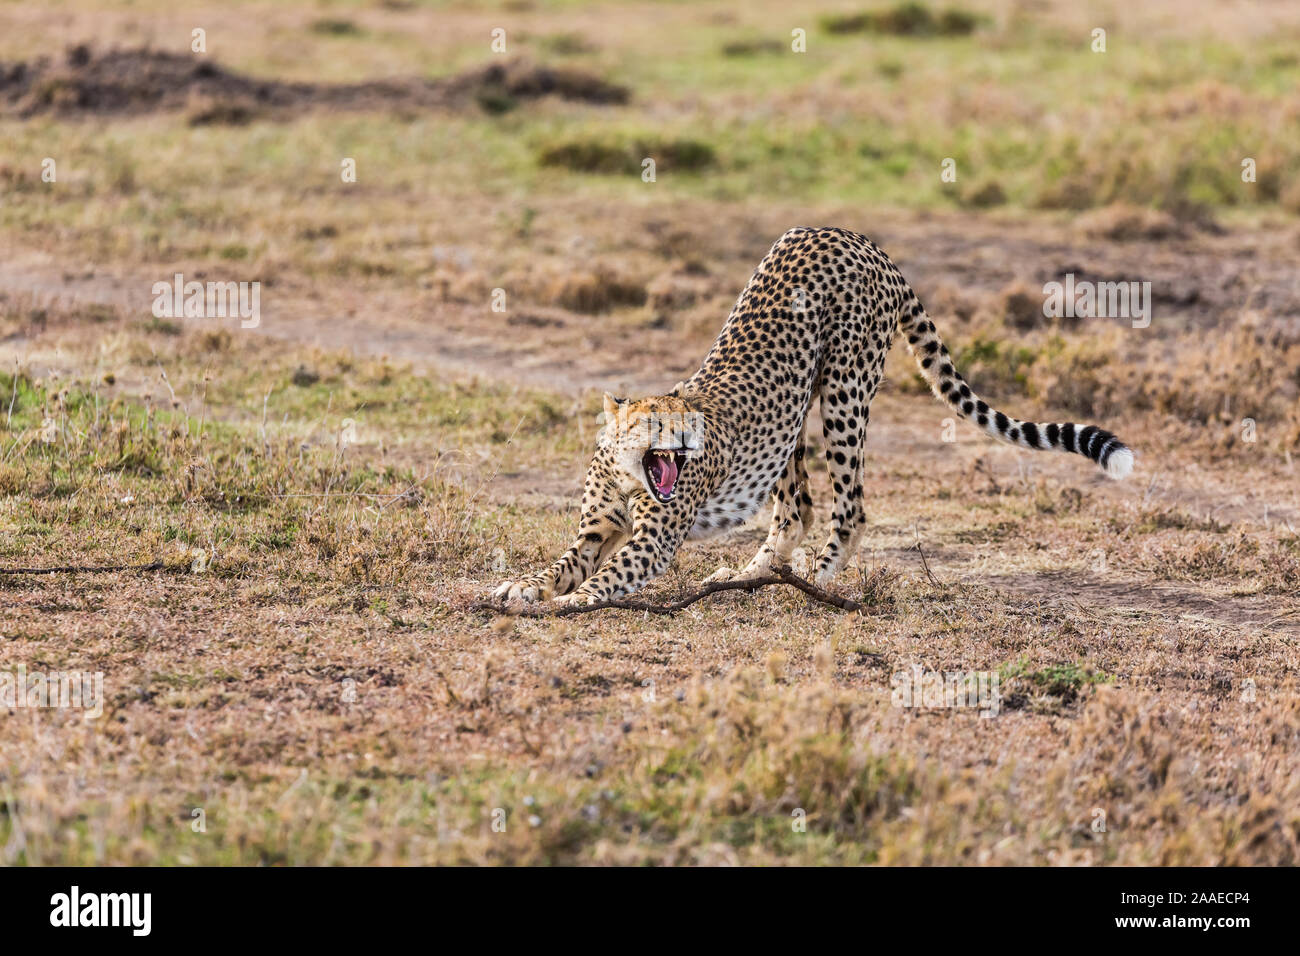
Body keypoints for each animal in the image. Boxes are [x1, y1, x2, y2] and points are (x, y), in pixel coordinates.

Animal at [493, 226, 1134, 606]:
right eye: (655, 425)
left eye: (687, 424)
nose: (683, 446)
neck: (632, 475)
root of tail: (859, 239)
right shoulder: (597, 529)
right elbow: (563, 564)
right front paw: (522, 587)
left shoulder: (650, 540)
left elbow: (606, 577)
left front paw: (569, 601)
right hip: (794, 420)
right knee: (796, 507)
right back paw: (751, 575)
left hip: (845, 392)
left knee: (849, 507)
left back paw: (818, 579)